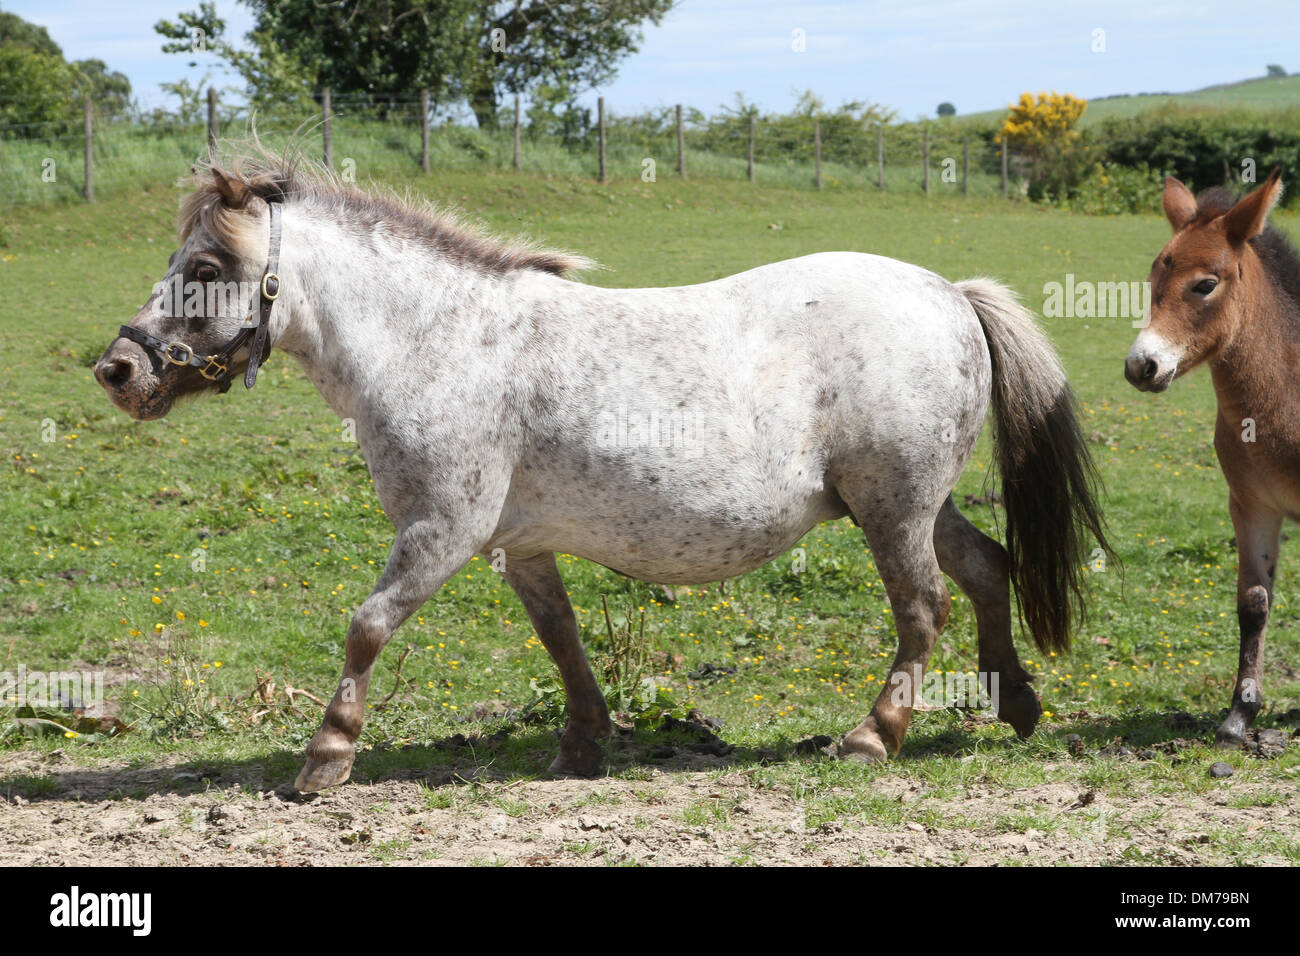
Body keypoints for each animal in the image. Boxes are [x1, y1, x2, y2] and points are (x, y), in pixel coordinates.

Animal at [95, 150, 1110, 792]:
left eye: (208, 265)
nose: (119, 370)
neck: (441, 343)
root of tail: (950, 293)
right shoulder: (518, 544)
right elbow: (563, 638)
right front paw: (585, 744)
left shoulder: (443, 529)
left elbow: (368, 626)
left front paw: (326, 756)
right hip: (909, 502)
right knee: (986, 568)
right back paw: (1016, 702)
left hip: (893, 508)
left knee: (922, 608)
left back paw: (873, 737)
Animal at [1126, 168, 1297, 747]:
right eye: (1153, 276)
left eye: (1205, 284)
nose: (1141, 366)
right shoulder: (1251, 507)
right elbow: (1254, 604)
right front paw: (1239, 715)